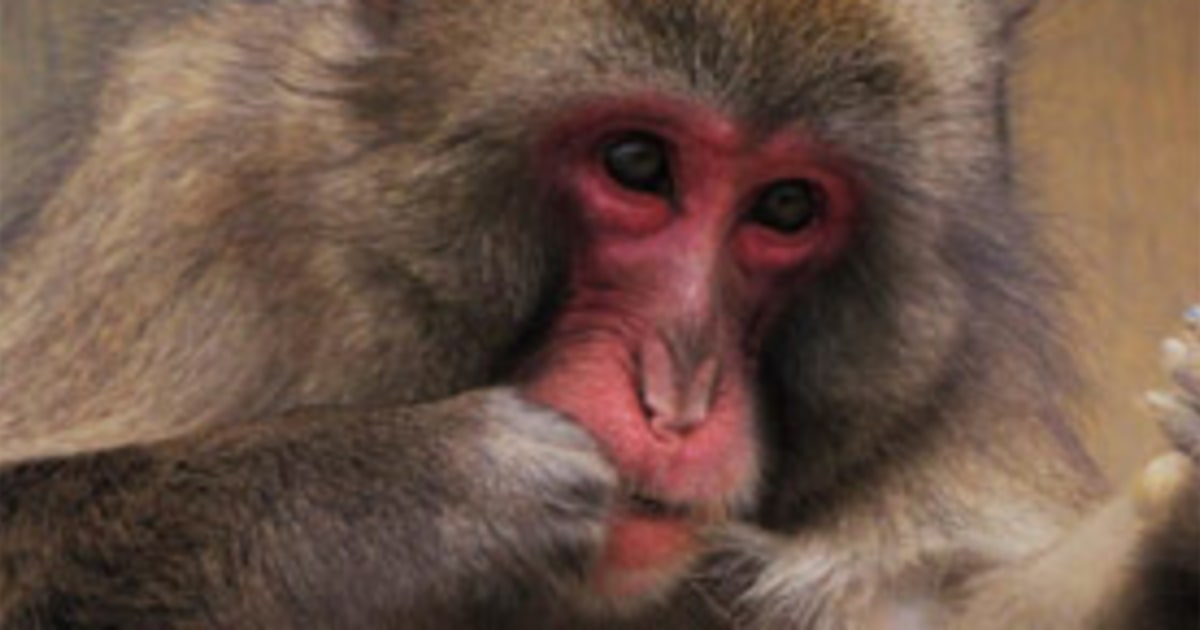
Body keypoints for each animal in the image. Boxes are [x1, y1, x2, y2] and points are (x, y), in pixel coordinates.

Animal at [0, 0, 1197, 628]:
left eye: (786, 206)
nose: (679, 398)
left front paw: (1163, 534)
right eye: (634, 163)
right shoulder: (187, 186)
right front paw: (411, 493)